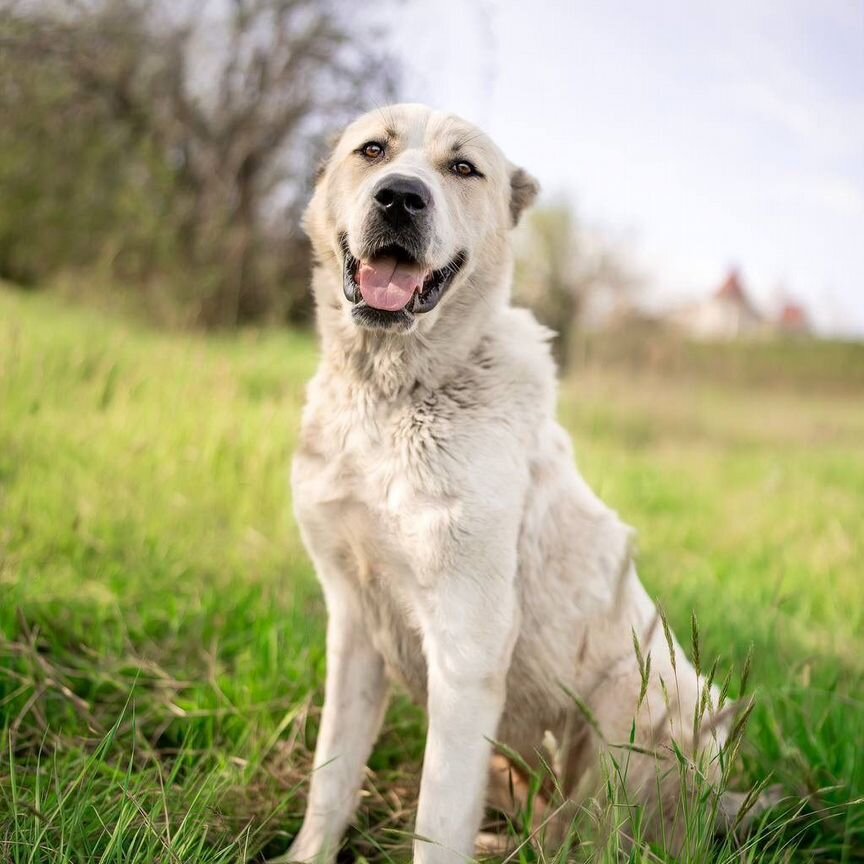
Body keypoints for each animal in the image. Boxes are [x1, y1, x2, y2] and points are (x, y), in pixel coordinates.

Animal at [282, 104, 744, 860]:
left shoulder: (467, 649)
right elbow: (332, 780)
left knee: (591, 834)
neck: (394, 396)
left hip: (647, 702)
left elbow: (436, 822)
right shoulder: (354, 626)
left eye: (463, 168)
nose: (400, 197)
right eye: (372, 151)